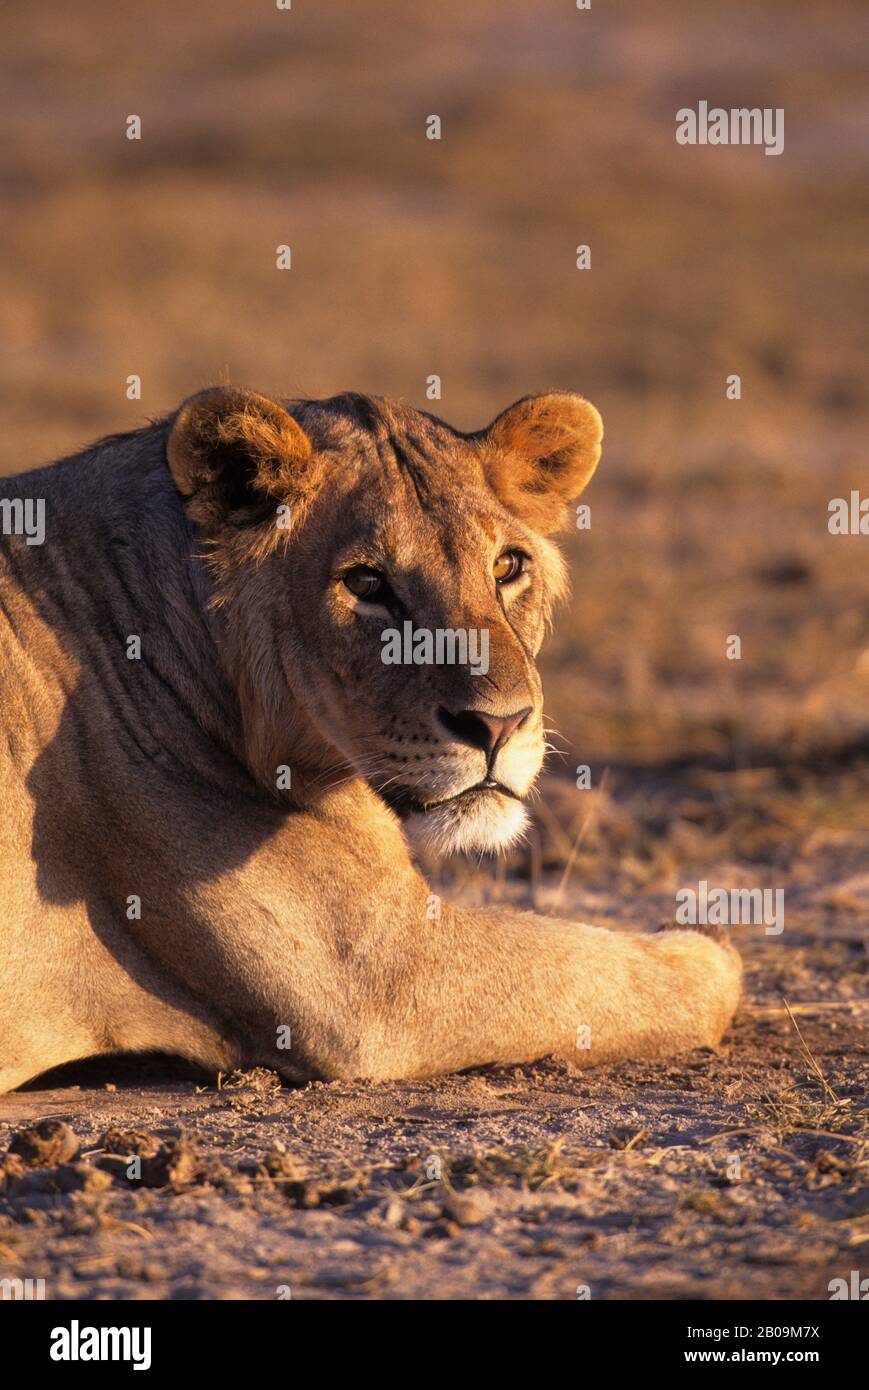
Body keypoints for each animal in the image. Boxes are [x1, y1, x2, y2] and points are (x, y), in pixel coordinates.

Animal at [0, 386, 741, 1091]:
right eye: (366, 583)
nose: (500, 725)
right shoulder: (374, 979)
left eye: (507, 567)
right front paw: (708, 948)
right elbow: (606, 968)